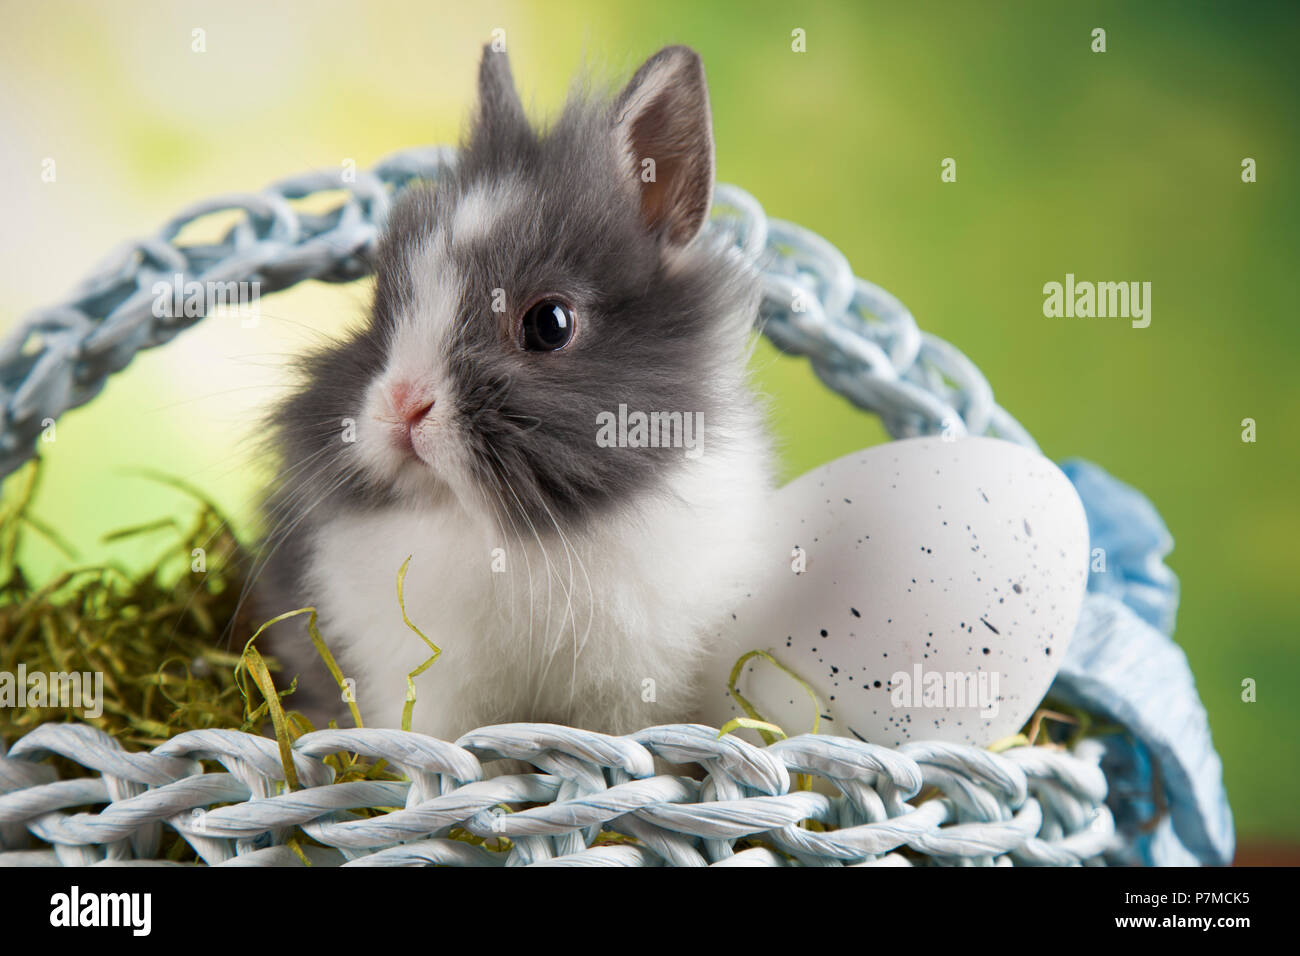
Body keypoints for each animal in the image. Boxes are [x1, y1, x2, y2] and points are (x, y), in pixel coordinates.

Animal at [252, 44, 774, 743]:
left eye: (549, 323)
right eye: (379, 306)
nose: (402, 404)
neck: (506, 535)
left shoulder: (636, 691)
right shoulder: (424, 689)